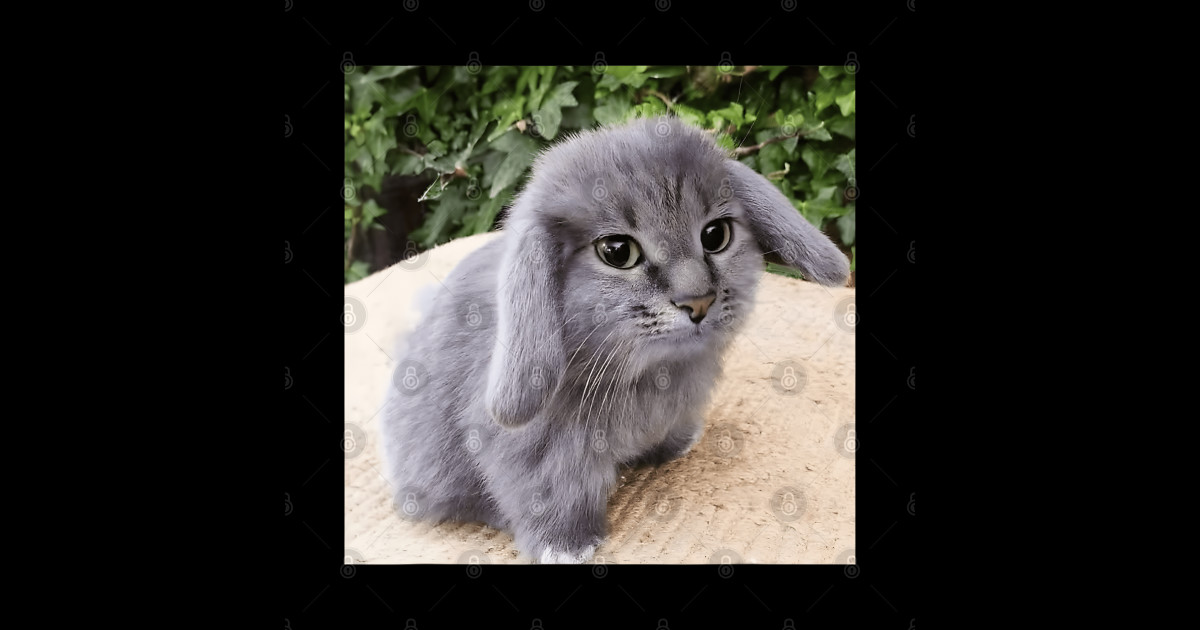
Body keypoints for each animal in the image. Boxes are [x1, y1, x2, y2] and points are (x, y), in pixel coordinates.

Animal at [379, 116, 849, 563]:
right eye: (617, 252)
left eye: (716, 235)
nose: (698, 301)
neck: (652, 370)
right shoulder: (541, 453)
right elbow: (551, 495)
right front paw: (566, 548)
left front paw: (678, 446)